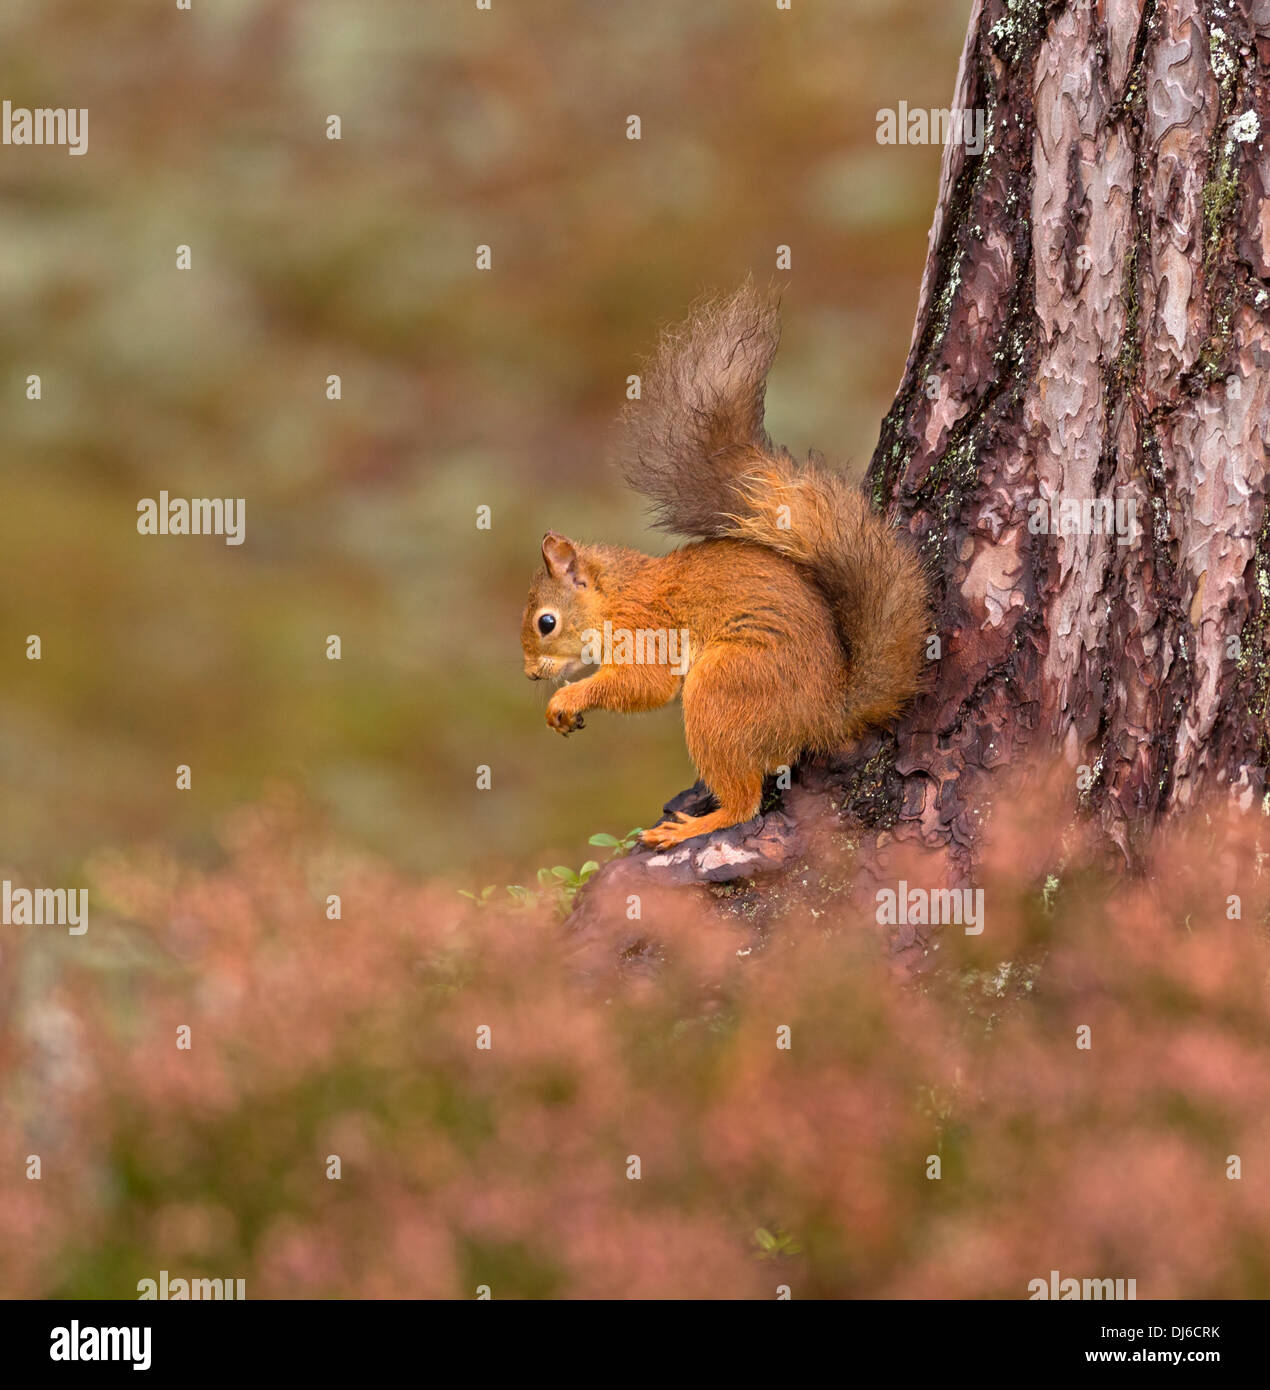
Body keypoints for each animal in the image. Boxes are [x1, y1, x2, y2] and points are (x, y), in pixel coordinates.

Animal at [520, 281, 930, 851]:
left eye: (547, 622)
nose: (530, 674)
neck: (616, 595)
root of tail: (827, 714)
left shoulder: (646, 630)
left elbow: (645, 686)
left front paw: (567, 697)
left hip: (724, 690)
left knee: (744, 802)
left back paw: (694, 825)